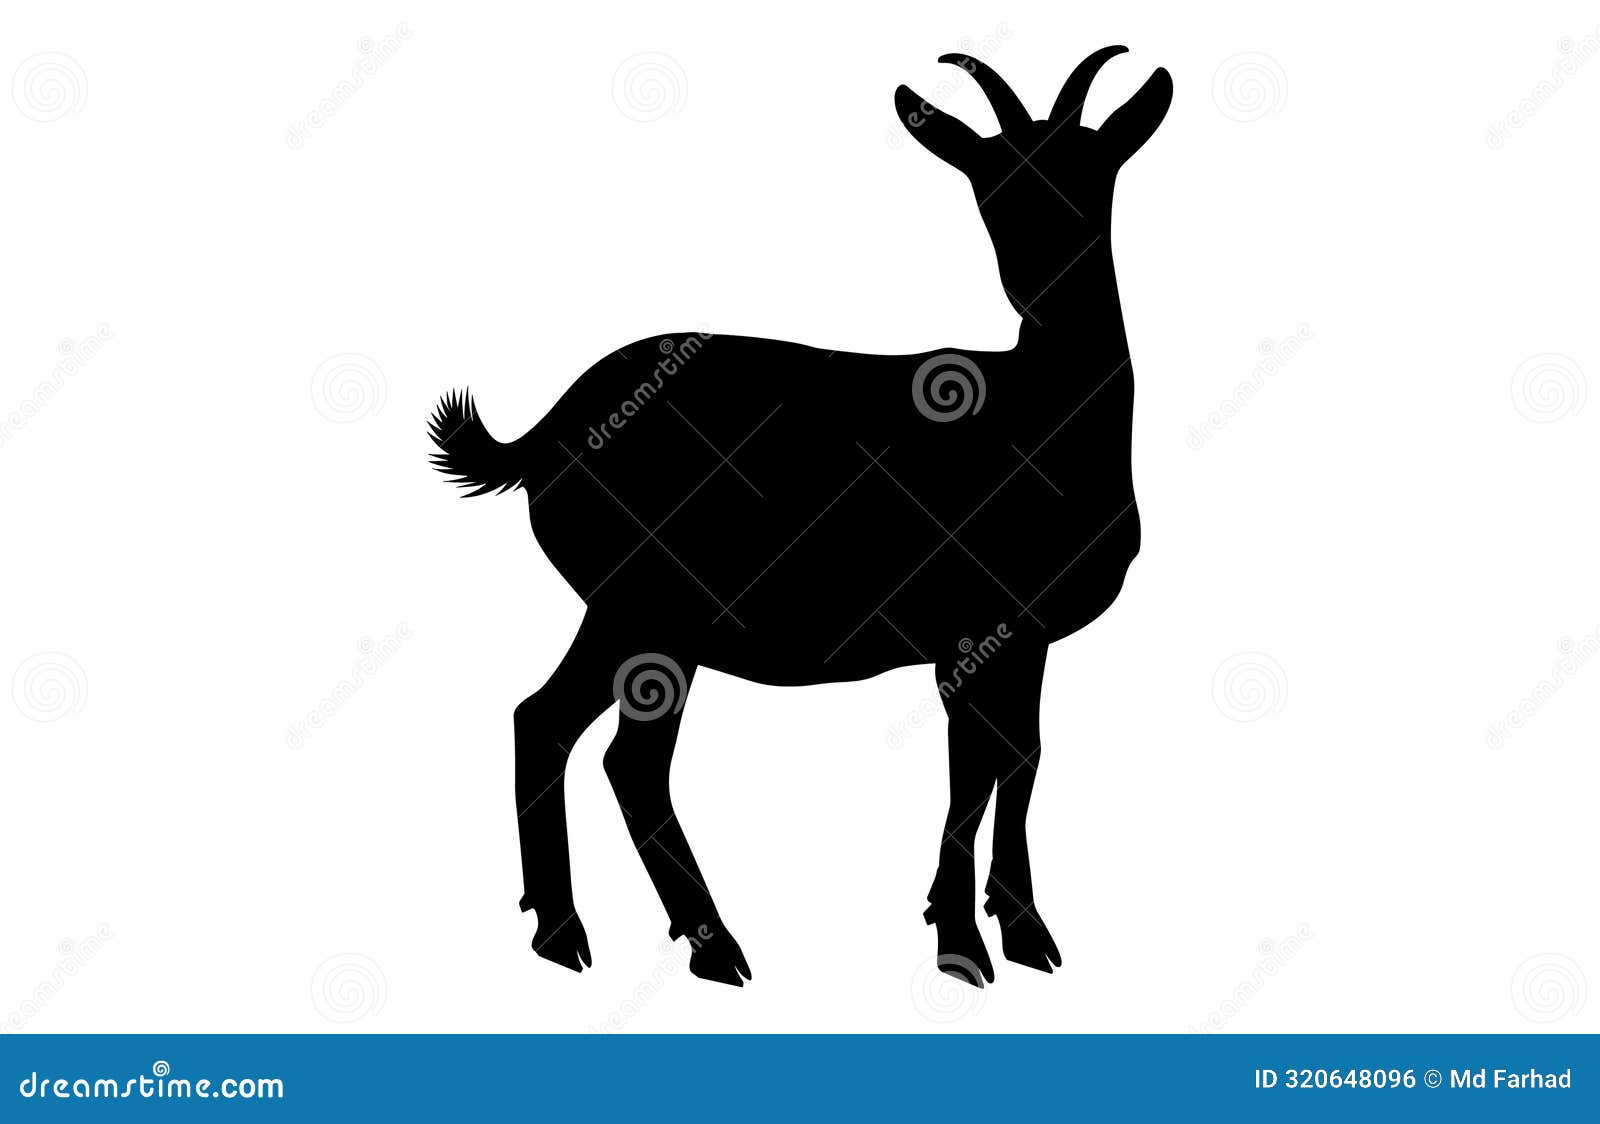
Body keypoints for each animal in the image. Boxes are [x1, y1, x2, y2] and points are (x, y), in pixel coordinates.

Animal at [429, 47, 1171, 987]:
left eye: (1092, 171)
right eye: (988, 181)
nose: (1038, 276)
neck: (1040, 416)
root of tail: (541, 433)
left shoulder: (1026, 633)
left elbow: (1022, 758)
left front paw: (1025, 931)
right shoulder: (967, 627)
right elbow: (971, 769)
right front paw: (961, 947)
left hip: (628, 613)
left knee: (551, 723)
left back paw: (573, 938)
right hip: (650, 605)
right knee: (624, 755)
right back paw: (705, 947)